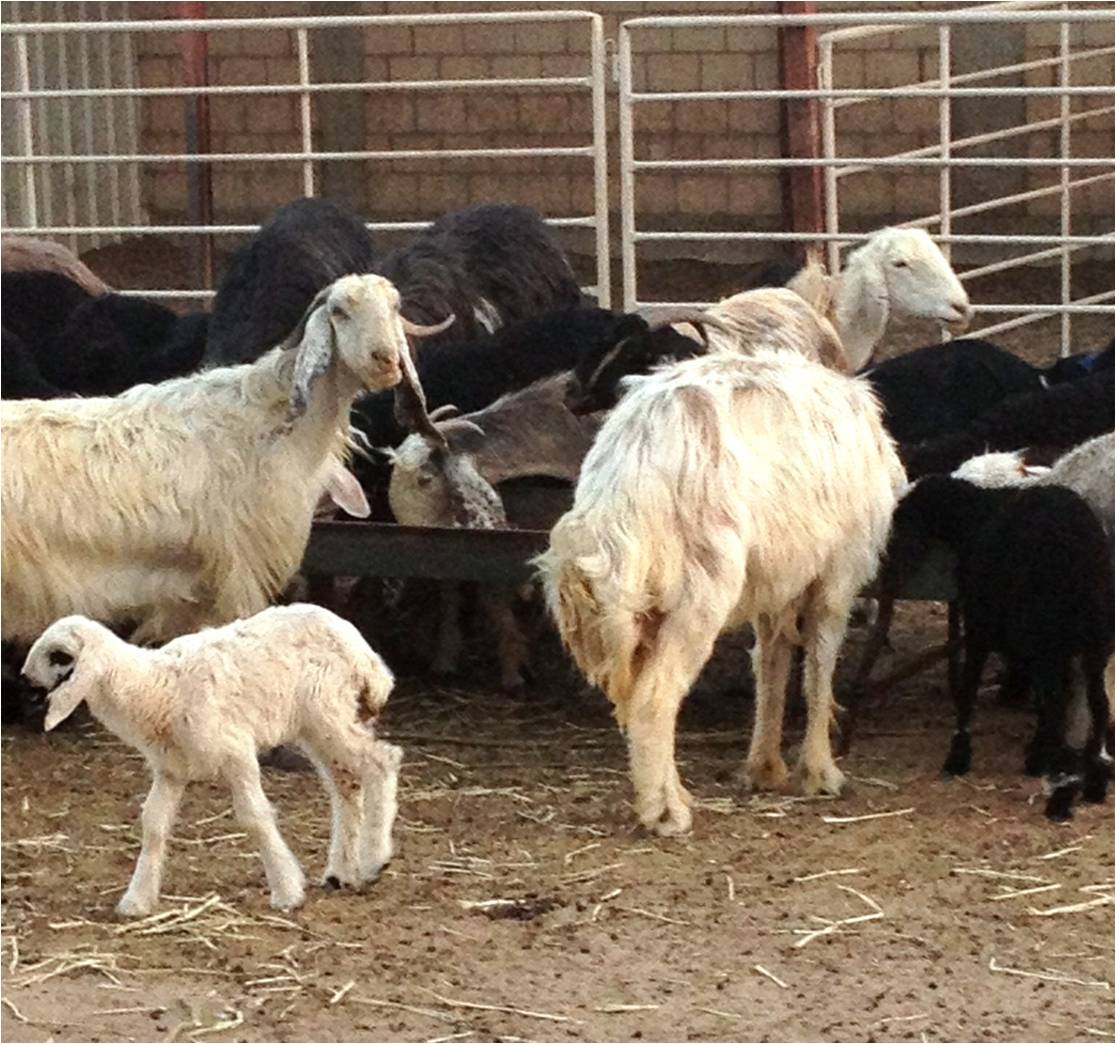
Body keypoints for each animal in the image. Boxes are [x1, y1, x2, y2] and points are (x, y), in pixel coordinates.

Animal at [23, 606, 402, 915]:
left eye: (58, 656)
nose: (25, 678)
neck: (157, 690)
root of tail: (367, 657)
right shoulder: (171, 769)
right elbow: (154, 824)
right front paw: (137, 899)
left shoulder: (237, 753)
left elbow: (254, 817)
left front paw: (287, 891)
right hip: (318, 722)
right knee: (345, 783)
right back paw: (341, 872)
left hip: (326, 710)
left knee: (381, 762)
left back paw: (374, 860)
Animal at [538, 350, 905, 835]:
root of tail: (630, 471)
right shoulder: (837, 576)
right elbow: (819, 669)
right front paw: (821, 772)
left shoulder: (773, 586)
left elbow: (771, 665)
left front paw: (765, 767)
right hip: (699, 589)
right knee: (654, 699)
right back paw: (664, 813)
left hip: (644, 600)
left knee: (646, 695)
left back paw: (673, 793)